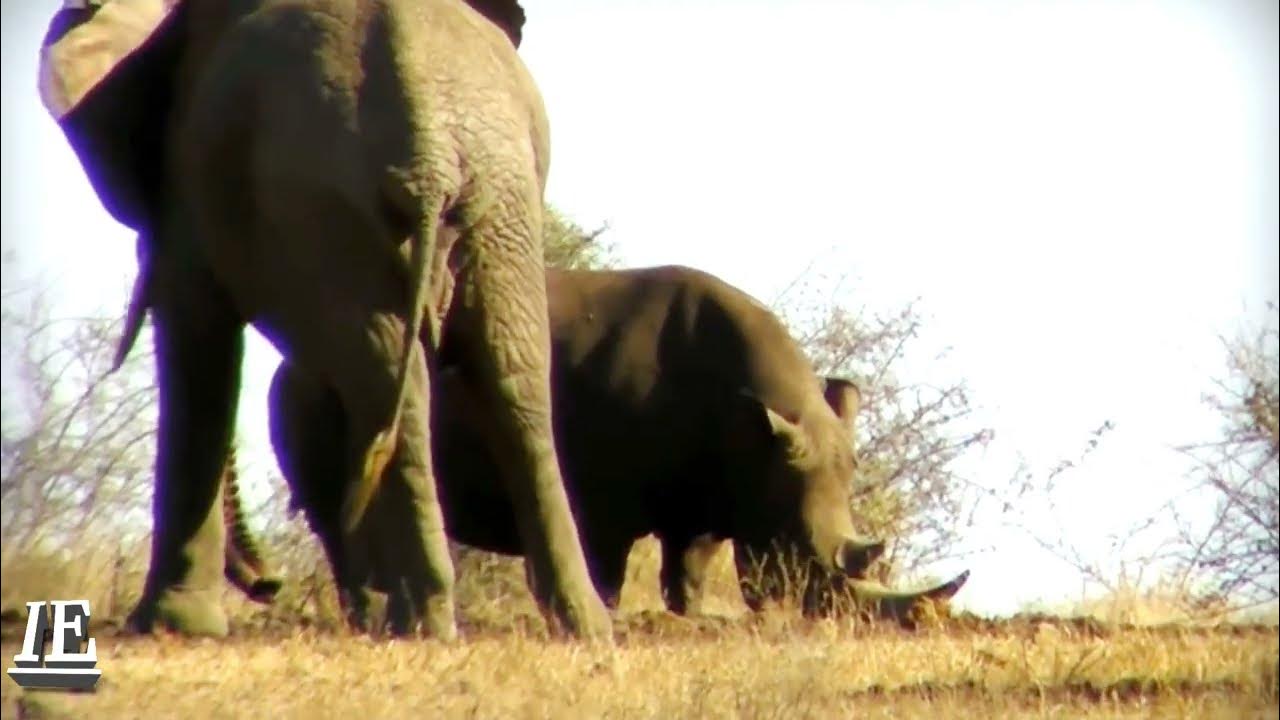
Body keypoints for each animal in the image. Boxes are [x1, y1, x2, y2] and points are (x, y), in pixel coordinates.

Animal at [37, 0, 611, 640]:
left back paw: (420, 625)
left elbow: (198, 342)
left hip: (330, 208)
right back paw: (576, 627)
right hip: (498, 196)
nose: (269, 585)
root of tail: (430, 153)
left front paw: (174, 626)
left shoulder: (187, 171)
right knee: (512, 381)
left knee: (394, 385)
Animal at [264, 265, 967, 622]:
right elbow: (604, 567)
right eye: (804, 558)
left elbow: (687, 570)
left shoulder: (712, 491)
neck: (760, 434)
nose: (836, 618)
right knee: (336, 521)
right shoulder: (601, 496)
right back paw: (366, 617)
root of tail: (289, 361)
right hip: (314, 386)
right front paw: (605, 617)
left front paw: (696, 620)